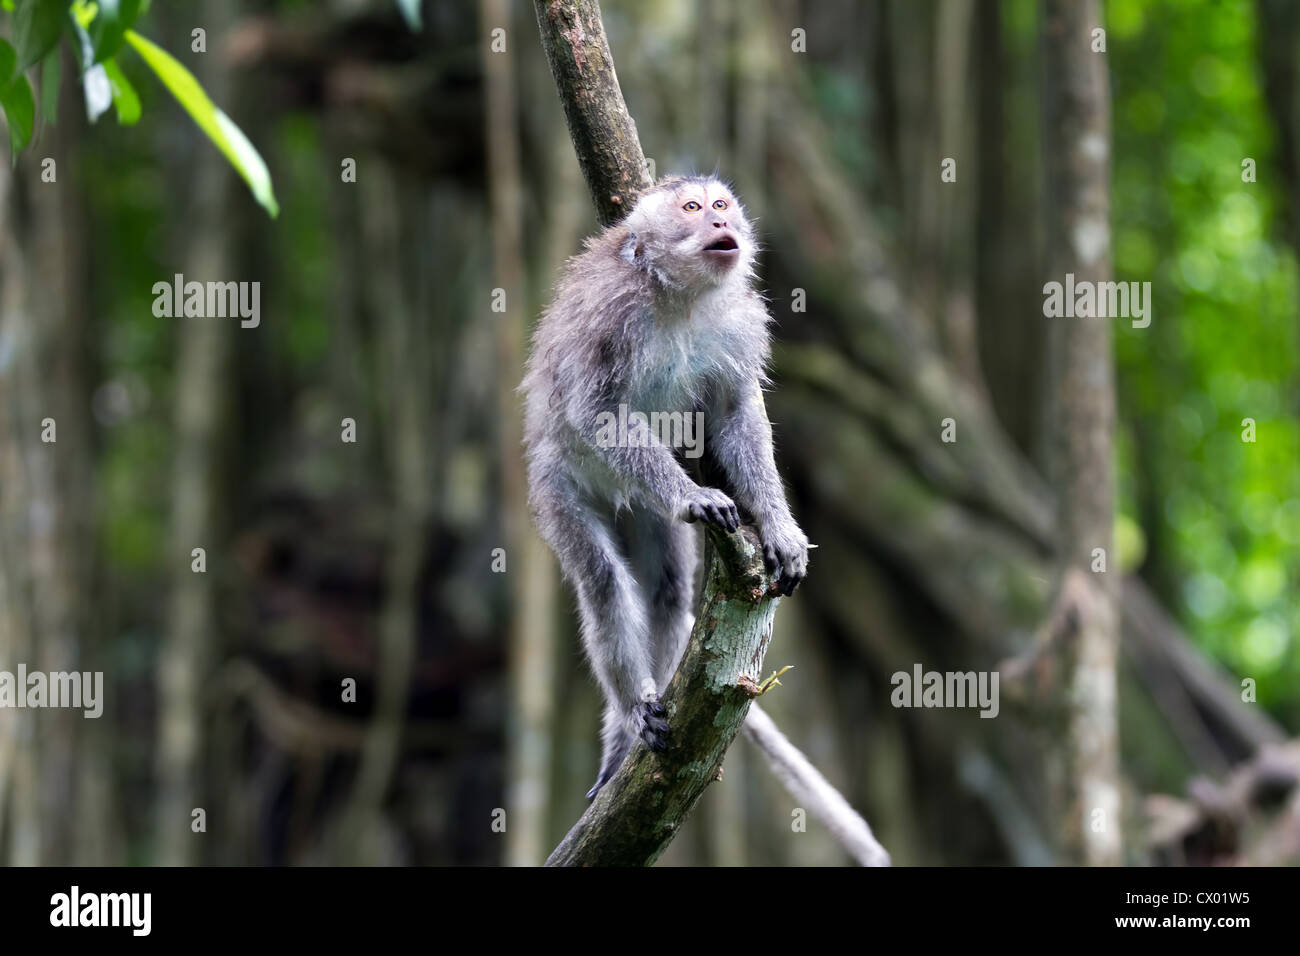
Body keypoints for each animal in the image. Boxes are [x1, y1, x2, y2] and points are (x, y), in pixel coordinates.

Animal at [521, 174, 810, 800]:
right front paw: (696, 495)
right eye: (692, 208)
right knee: (604, 583)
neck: (682, 297)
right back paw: (635, 711)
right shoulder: (611, 314)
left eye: (720, 205)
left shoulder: (740, 321)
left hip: (643, 510)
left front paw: (779, 528)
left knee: (669, 590)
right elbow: (599, 413)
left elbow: (736, 413)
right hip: (558, 489)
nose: (721, 222)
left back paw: (622, 741)